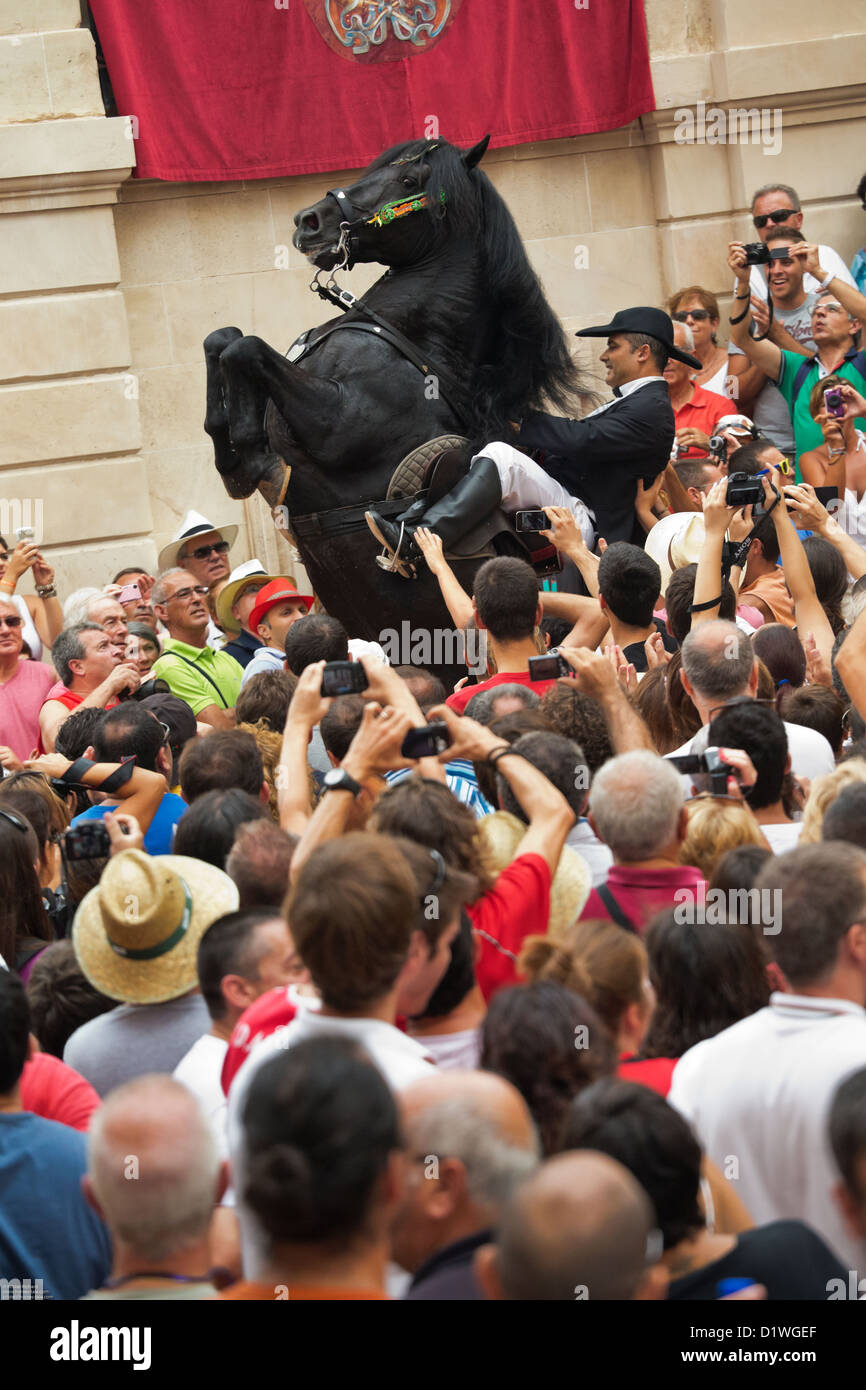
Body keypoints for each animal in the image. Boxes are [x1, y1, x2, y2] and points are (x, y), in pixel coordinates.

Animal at [203, 135, 585, 685]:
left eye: (408, 180)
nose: (309, 221)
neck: (412, 341)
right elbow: (223, 338)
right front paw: (231, 457)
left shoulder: (335, 426)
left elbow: (245, 348)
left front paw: (250, 457)